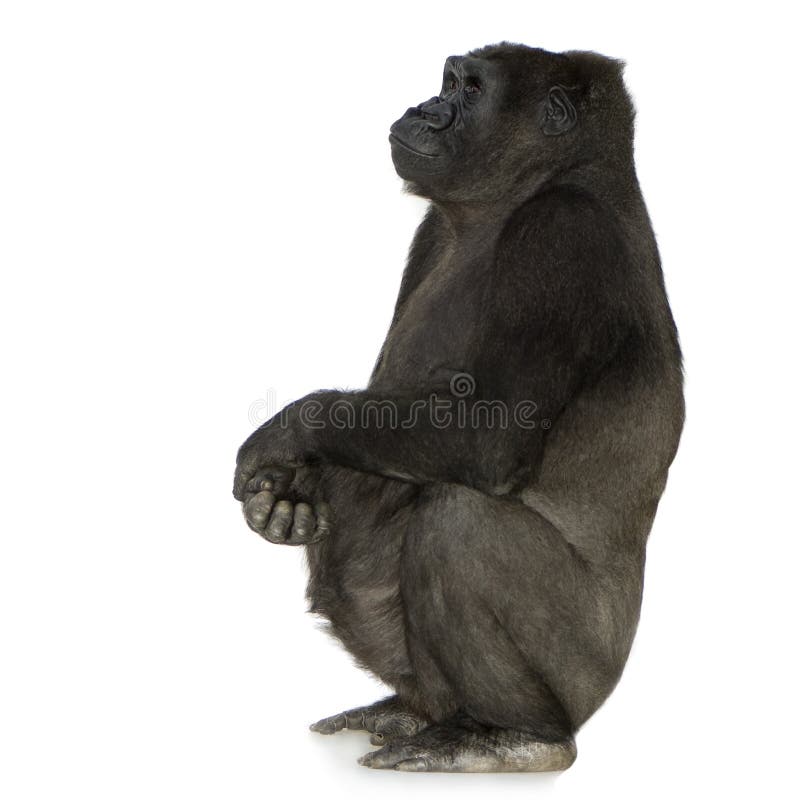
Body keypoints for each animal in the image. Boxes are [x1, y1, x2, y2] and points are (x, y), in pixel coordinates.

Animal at [233, 42, 684, 772]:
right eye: (447, 83)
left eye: (469, 91)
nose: (423, 107)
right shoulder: (428, 238)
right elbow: (378, 424)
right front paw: (283, 499)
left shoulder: (561, 239)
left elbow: (484, 437)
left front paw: (285, 435)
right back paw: (417, 711)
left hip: (588, 678)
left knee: (458, 523)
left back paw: (519, 736)